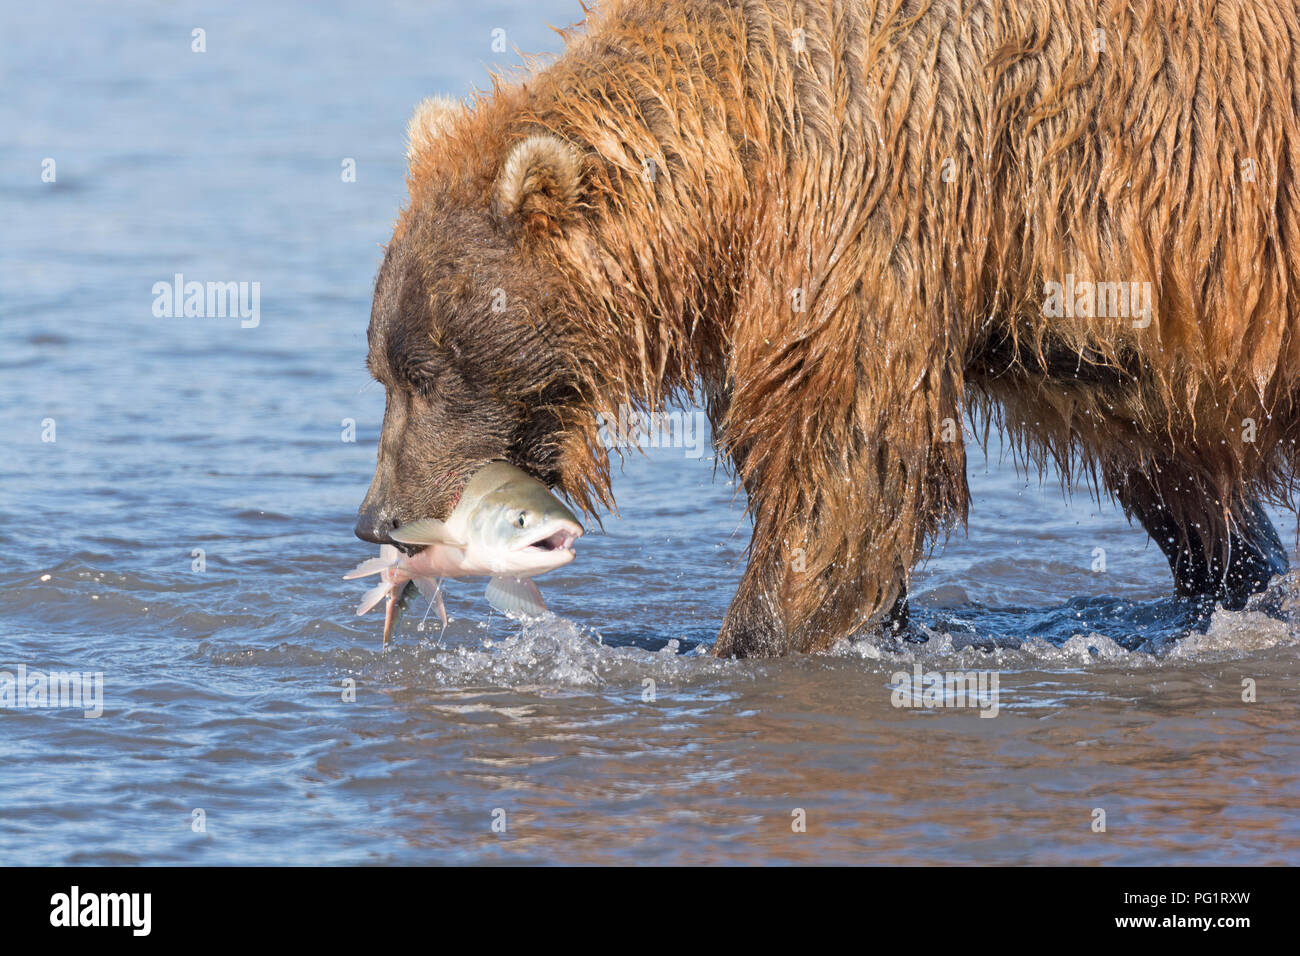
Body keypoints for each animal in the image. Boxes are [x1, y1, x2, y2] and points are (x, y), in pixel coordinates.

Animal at [356, 0, 1298, 657]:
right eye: (382, 370)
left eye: (426, 373)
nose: (376, 520)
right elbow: (1175, 467)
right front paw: (1245, 582)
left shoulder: (877, 189)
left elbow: (838, 457)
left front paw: (748, 639)